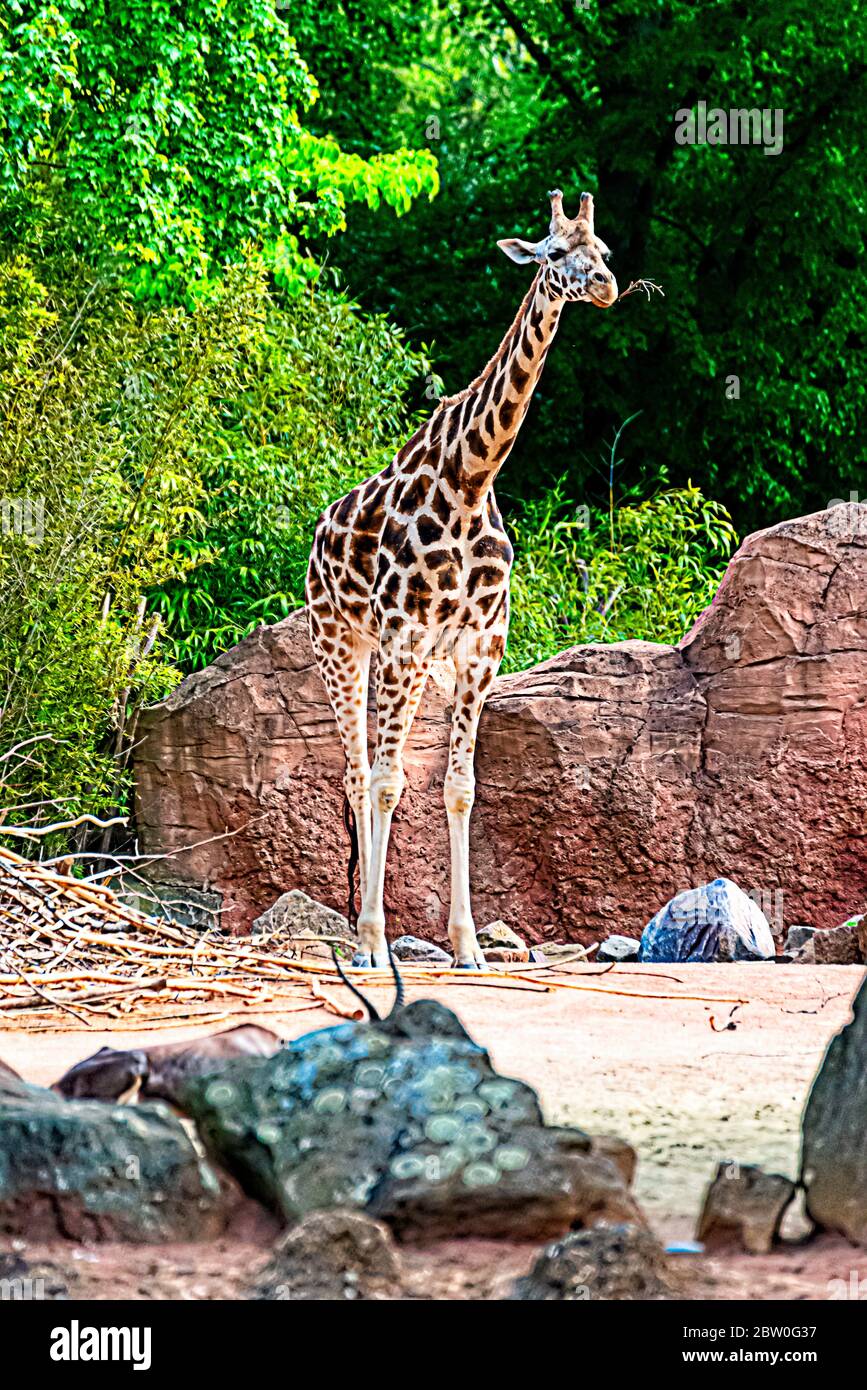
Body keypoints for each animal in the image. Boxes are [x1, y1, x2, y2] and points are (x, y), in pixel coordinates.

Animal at [306, 189, 618, 968]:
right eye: (553, 252)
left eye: (602, 249)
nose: (604, 286)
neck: (472, 478)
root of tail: (318, 534)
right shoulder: (402, 639)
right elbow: (389, 783)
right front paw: (372, 942)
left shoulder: (479, 649)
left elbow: (460, 787)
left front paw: (468, 945)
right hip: (341, 646)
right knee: (359, 774)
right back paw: (363, 937)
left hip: (412, 665)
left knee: (379, 773)